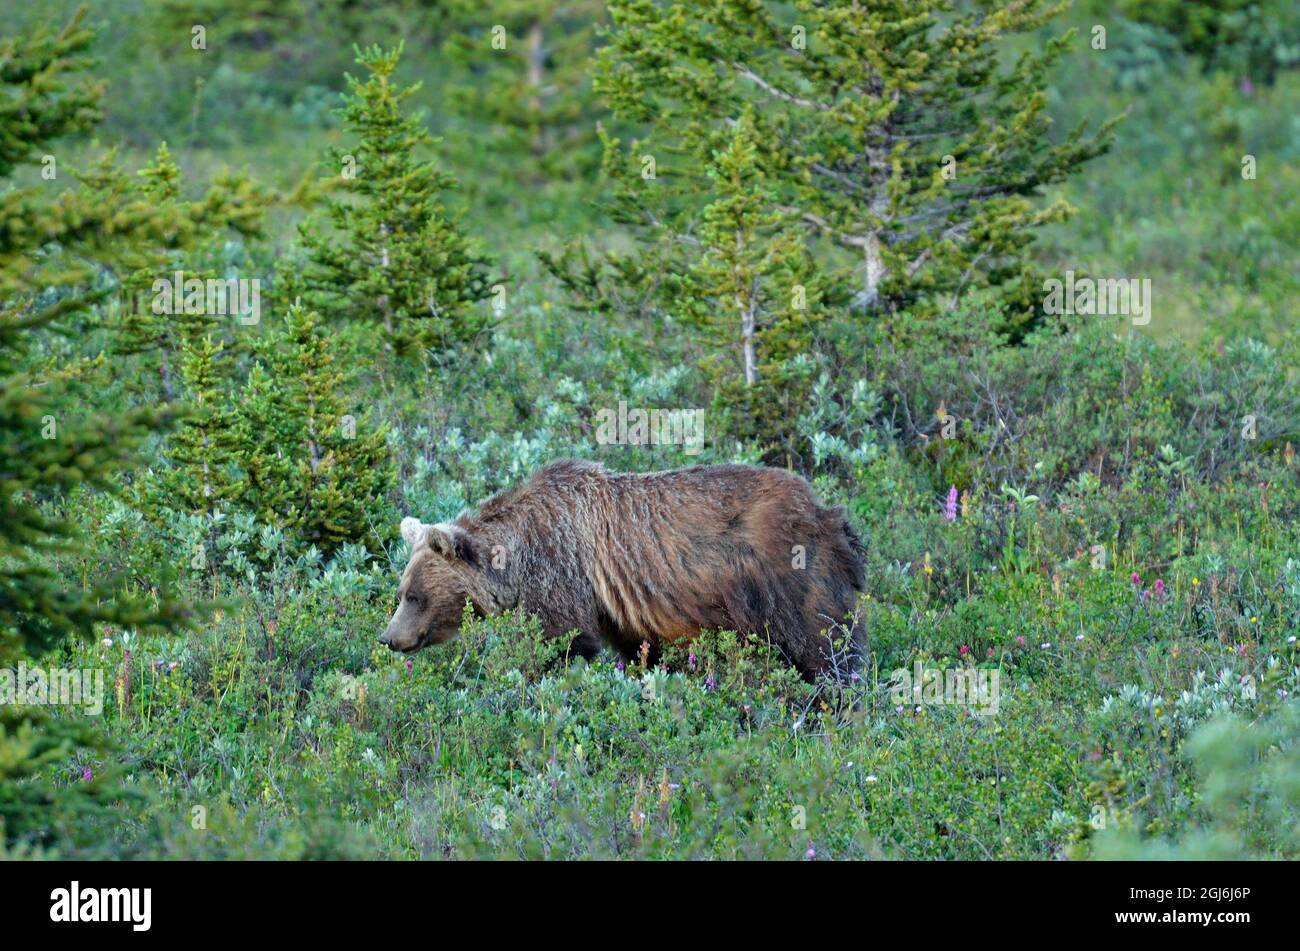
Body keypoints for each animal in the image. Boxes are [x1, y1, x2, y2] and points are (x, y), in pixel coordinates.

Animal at [380, 459, 866, 680]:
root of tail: (829, 512)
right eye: (401, 592)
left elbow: (563, 644)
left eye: (415, 596)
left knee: (826, 643)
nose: (388, 638)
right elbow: (642, 652)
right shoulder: (619, 610)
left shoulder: (562, 575)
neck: (516, 559)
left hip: (790, 576)